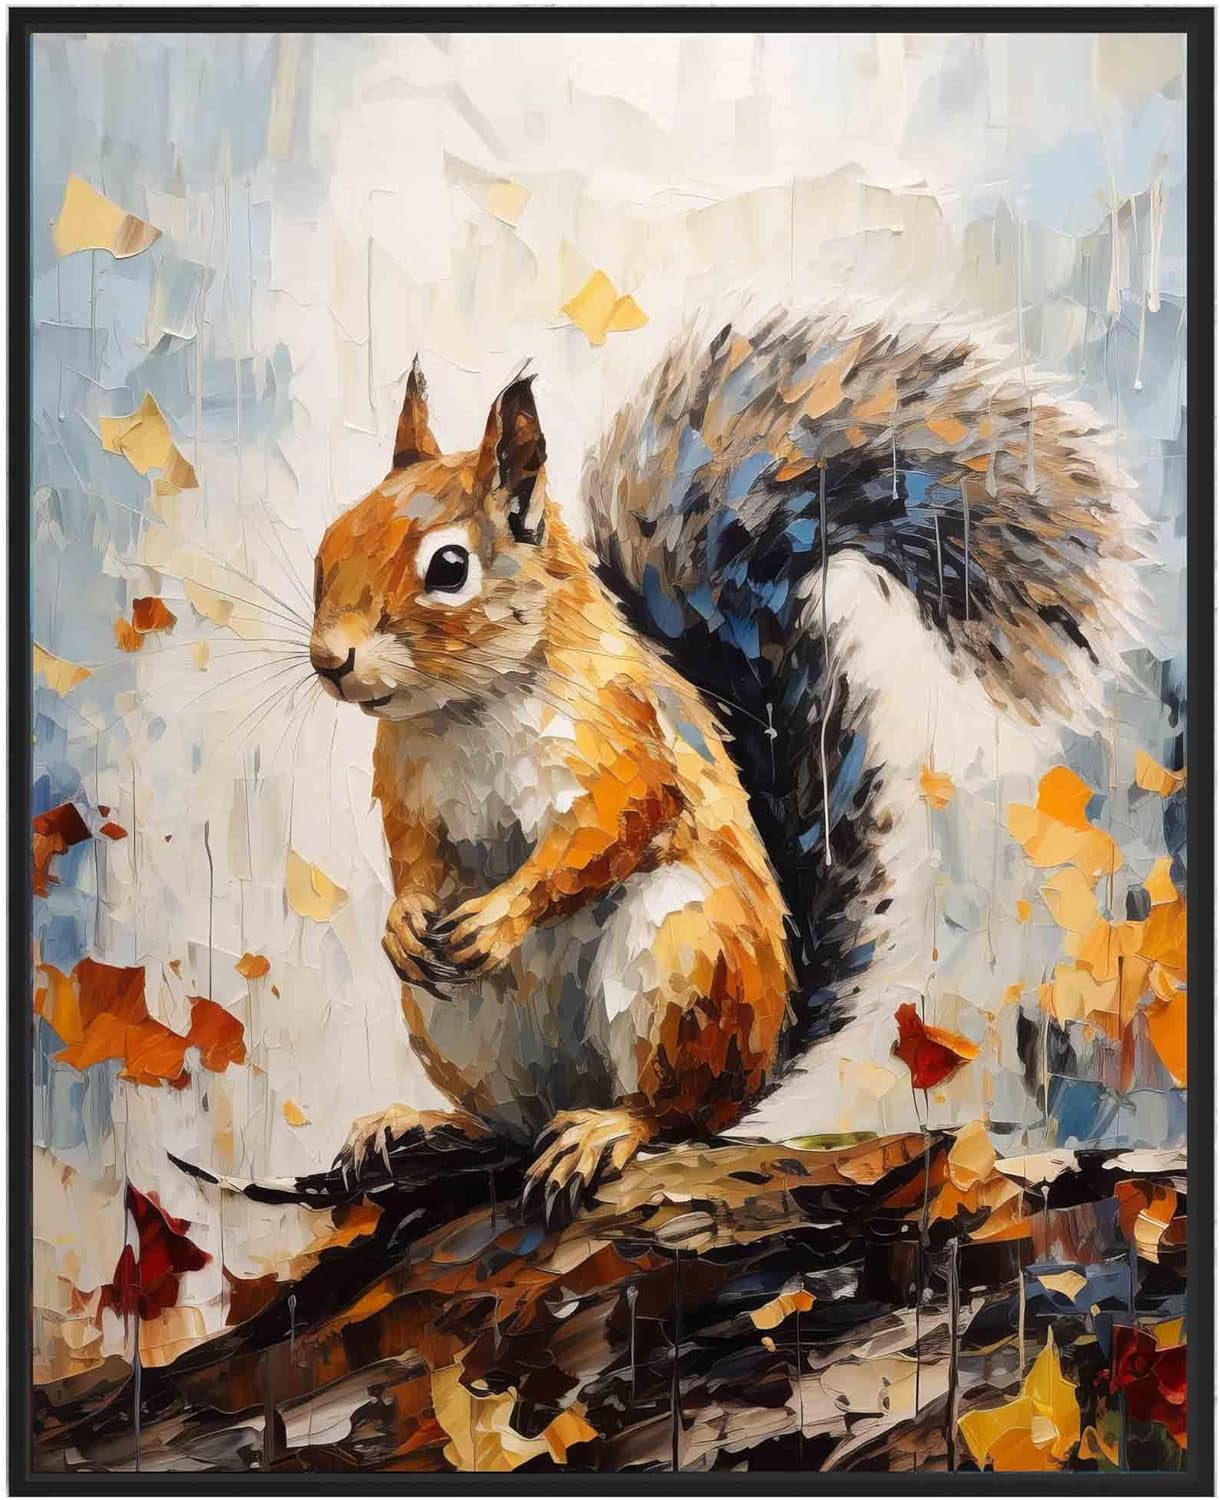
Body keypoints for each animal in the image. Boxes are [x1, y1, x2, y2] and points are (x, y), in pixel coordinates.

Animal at [308, 308, 1139, 1222]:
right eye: (327, 546)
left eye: (449, 568)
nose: (330, 661)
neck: (462, 711)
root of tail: (762, 1060)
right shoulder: (406, 793)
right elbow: (414, 860)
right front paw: (403, 922)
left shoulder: (625, 740)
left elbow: (611, 828)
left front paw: (499, 914)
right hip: (458, 1027)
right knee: (508, 1125)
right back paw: (423, 1125)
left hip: (680, 958)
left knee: (672, 1114)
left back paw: (604, 1130)